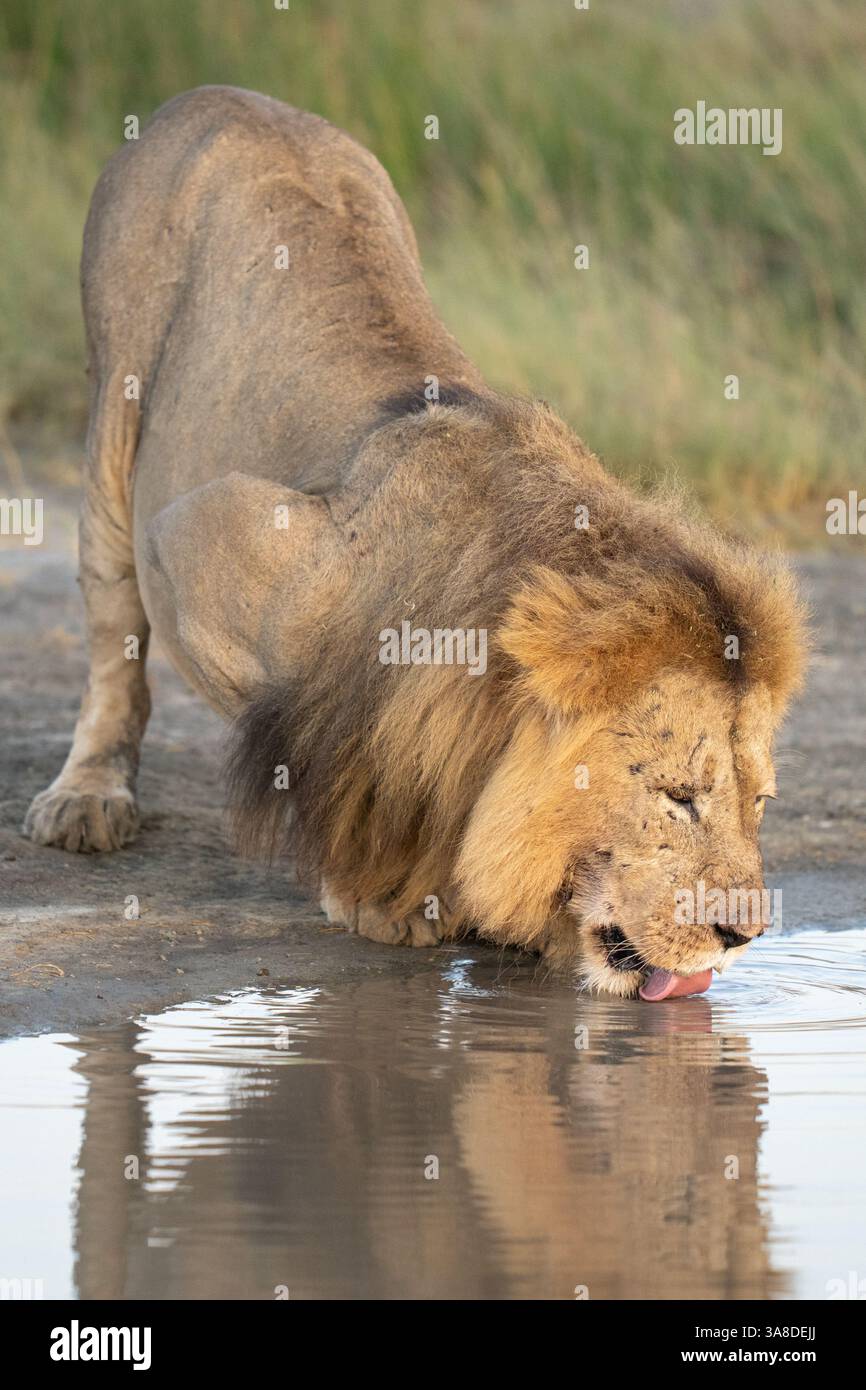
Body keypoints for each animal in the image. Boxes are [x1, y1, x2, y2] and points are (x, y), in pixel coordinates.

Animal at [23, 86, 808, 1000]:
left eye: (761, 805)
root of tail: (218, 94)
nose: (743, 938)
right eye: (679, 797)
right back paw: (88, 796)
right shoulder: (196, 537)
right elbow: (327, 749)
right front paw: (376, 890)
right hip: (116, 428)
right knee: (115, 639)